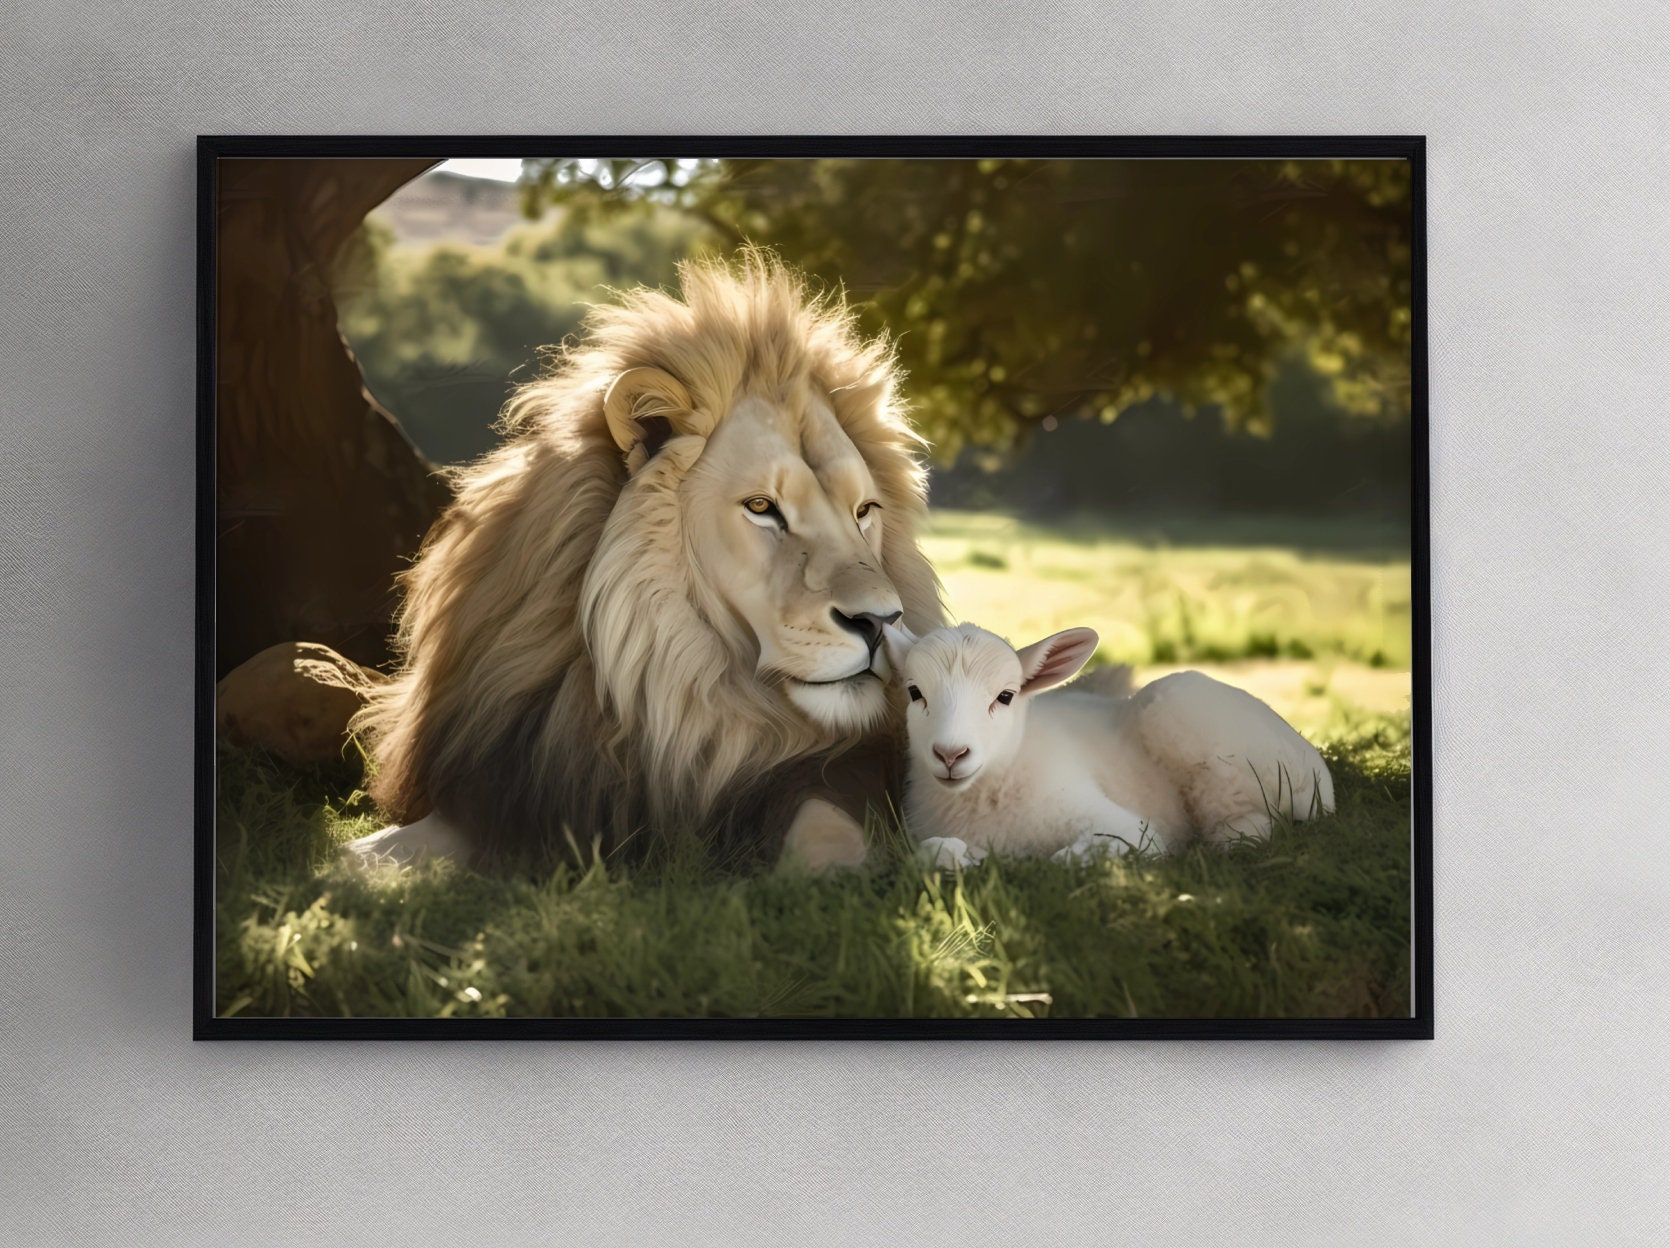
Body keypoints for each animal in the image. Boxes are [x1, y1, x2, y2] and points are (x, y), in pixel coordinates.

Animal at [345, 252, 945, 871]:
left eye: (863, 511)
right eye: (762, 507)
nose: (880, 622)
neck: (677, 693)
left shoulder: (839, 772)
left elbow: (828, 829)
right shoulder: (508, 785)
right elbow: (377, 851)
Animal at [884, 622, 1336, 868]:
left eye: (1006, 696)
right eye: (914, 692)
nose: (950, 754)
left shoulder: (1125, 827)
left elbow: (1068, 858)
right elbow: (931, 853)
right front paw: (965, 859)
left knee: (1257, 824)